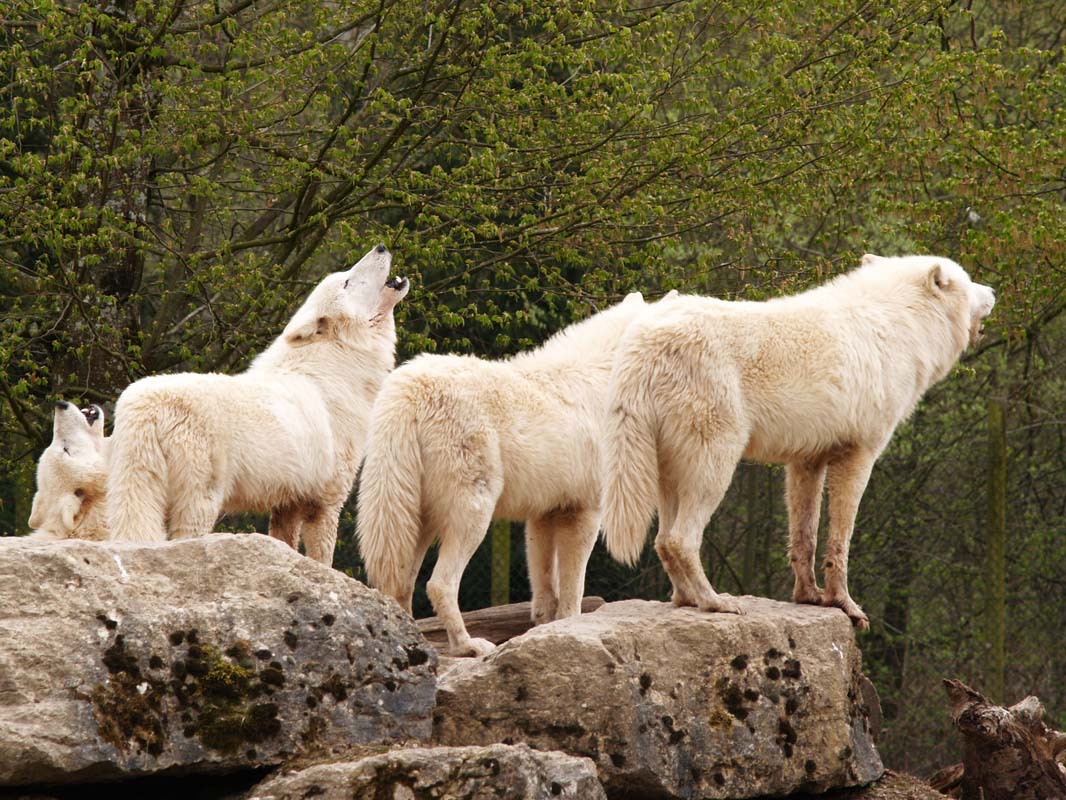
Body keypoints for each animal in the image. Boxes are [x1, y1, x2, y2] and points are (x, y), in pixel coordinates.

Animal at [106, 244, 408, 563]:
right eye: (347, 282)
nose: (381, 247)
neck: (335, 367)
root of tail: (143, 407)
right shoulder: (326, 502)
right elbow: (323, 559)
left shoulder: (288, 504)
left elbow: (285, 544)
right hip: (199, 504)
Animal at [357, 291, 670, 656]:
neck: (603, 378)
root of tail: (409, 389)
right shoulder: (584, 513)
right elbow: (573, 591)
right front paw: (571, 630)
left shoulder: (544, 515)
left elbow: (545, 588)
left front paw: (546, 632)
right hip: (472, 516)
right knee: (439, 584)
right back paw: (468, 646)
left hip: (417, 522)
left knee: (399, 584)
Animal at [600, 254, 996, 628]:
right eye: (968, 280)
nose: (992, 291)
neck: (896, 327)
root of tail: (642, 340)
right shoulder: (860, 454)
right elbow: (841, 540)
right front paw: (844, 604)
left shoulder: (806, 460)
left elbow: (804, 537)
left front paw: (809, 597)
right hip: (714, 469)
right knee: (680, 539)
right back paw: (715, 602)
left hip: (670, 475)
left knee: (663, 541)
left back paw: (687, 600)